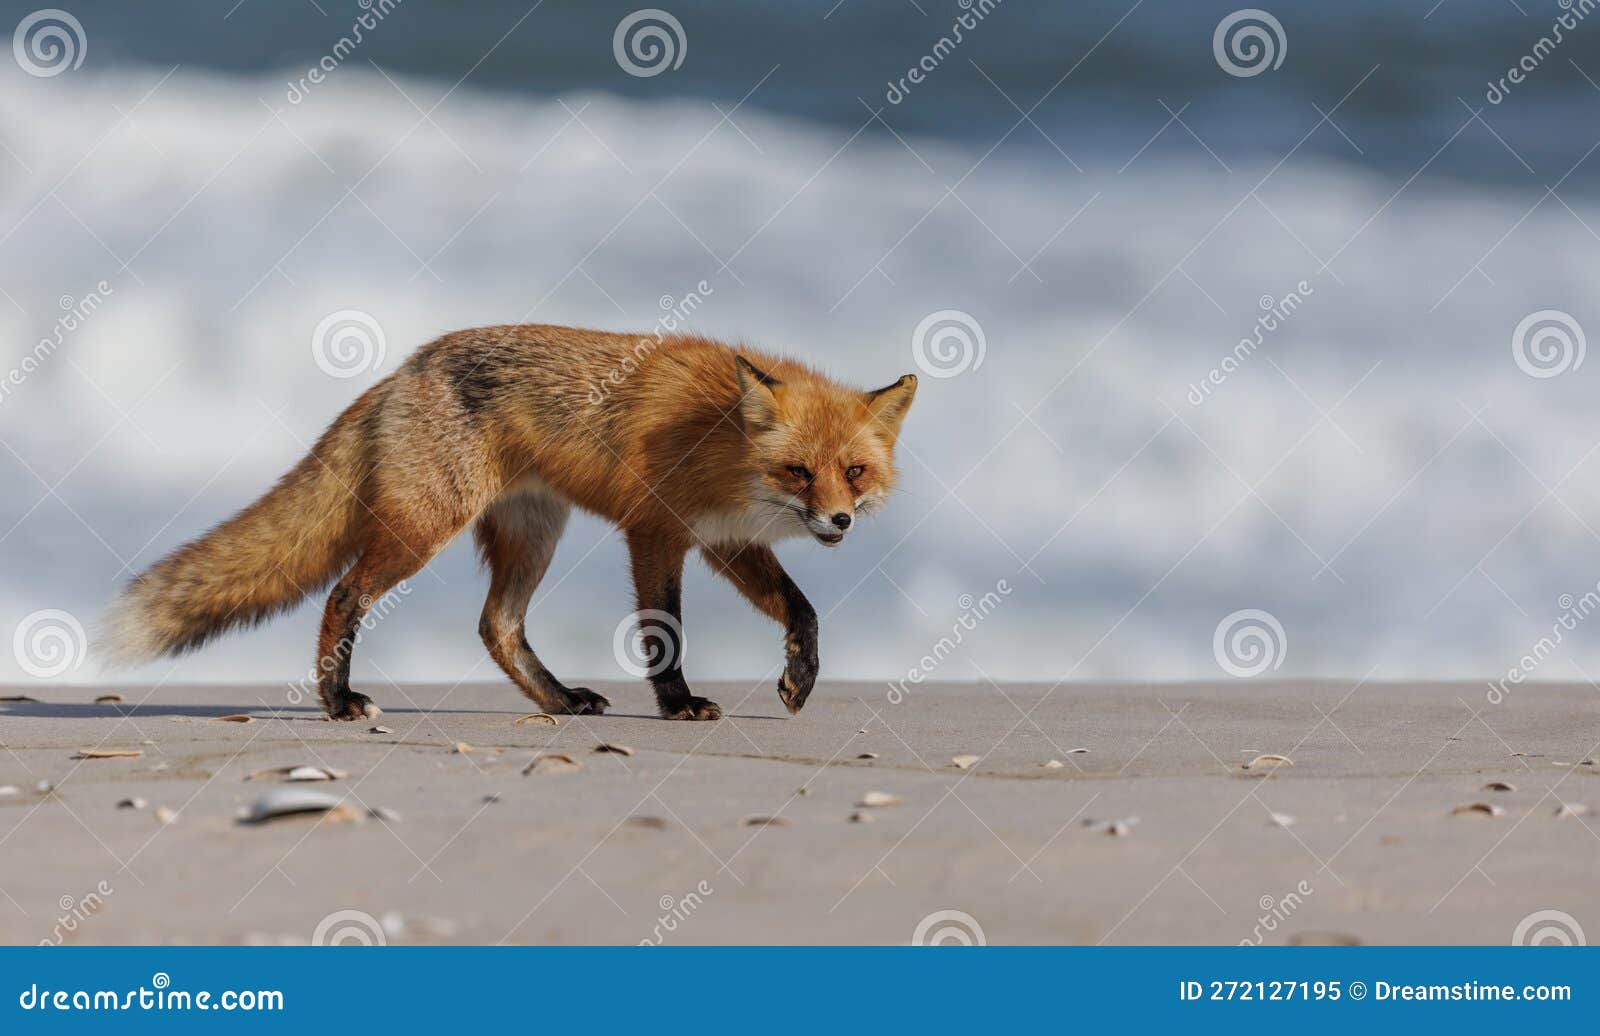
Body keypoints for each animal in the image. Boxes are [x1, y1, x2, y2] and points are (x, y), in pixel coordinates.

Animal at [103, 324, 916, 722]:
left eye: (855, 472)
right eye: (799, 472)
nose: (839, 521)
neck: (719, 436)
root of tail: (404, 369)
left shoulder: (725, 540)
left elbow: (803, 611)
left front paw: (801, 681)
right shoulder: (655, 531)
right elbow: (665, 632)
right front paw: (679, 704)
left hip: (532, 533)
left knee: (497, 626)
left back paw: (559, 701)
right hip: (423, 530)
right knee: (342, 596)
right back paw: (336, 703)